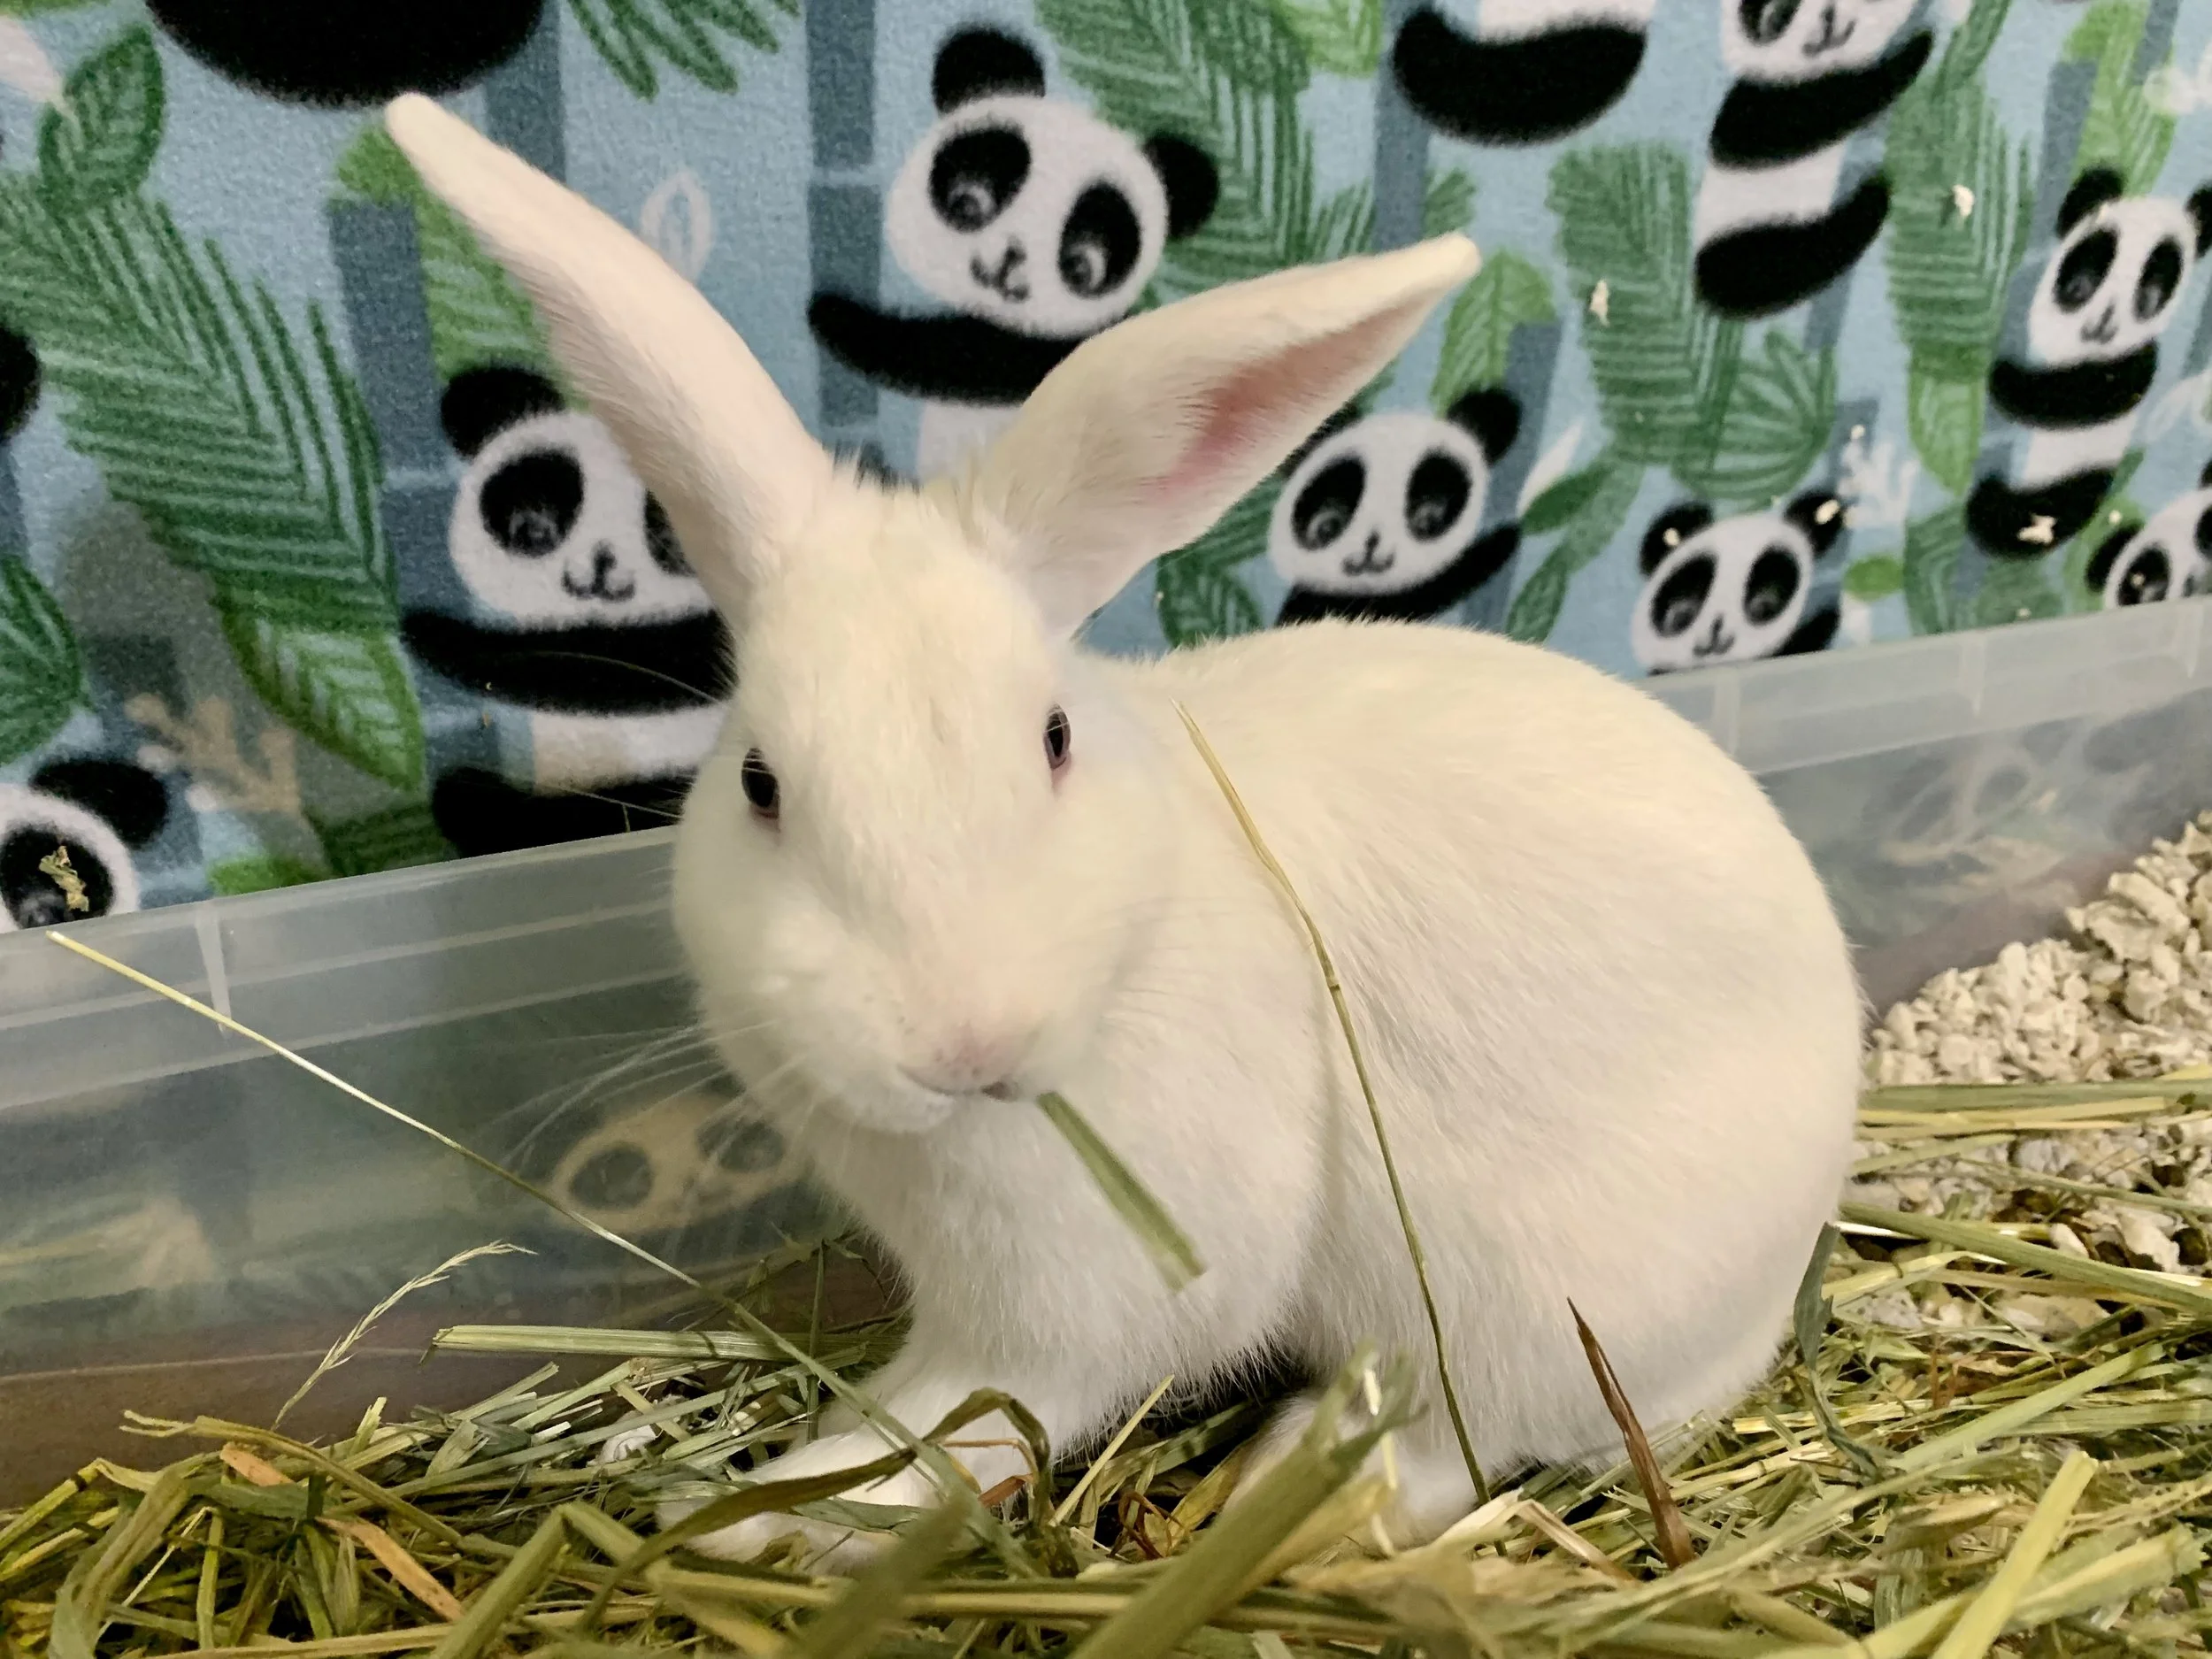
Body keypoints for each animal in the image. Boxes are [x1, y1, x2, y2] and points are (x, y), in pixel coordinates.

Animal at [386, 94, 1863, 1567]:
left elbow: (952, 1428)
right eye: (759, 781)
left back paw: (1281, 1487)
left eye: (1052, 740)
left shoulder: (1065, 1314)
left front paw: (747, 1521)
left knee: (1453, 1441)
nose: (964, 1045)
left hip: (1526, 1303)